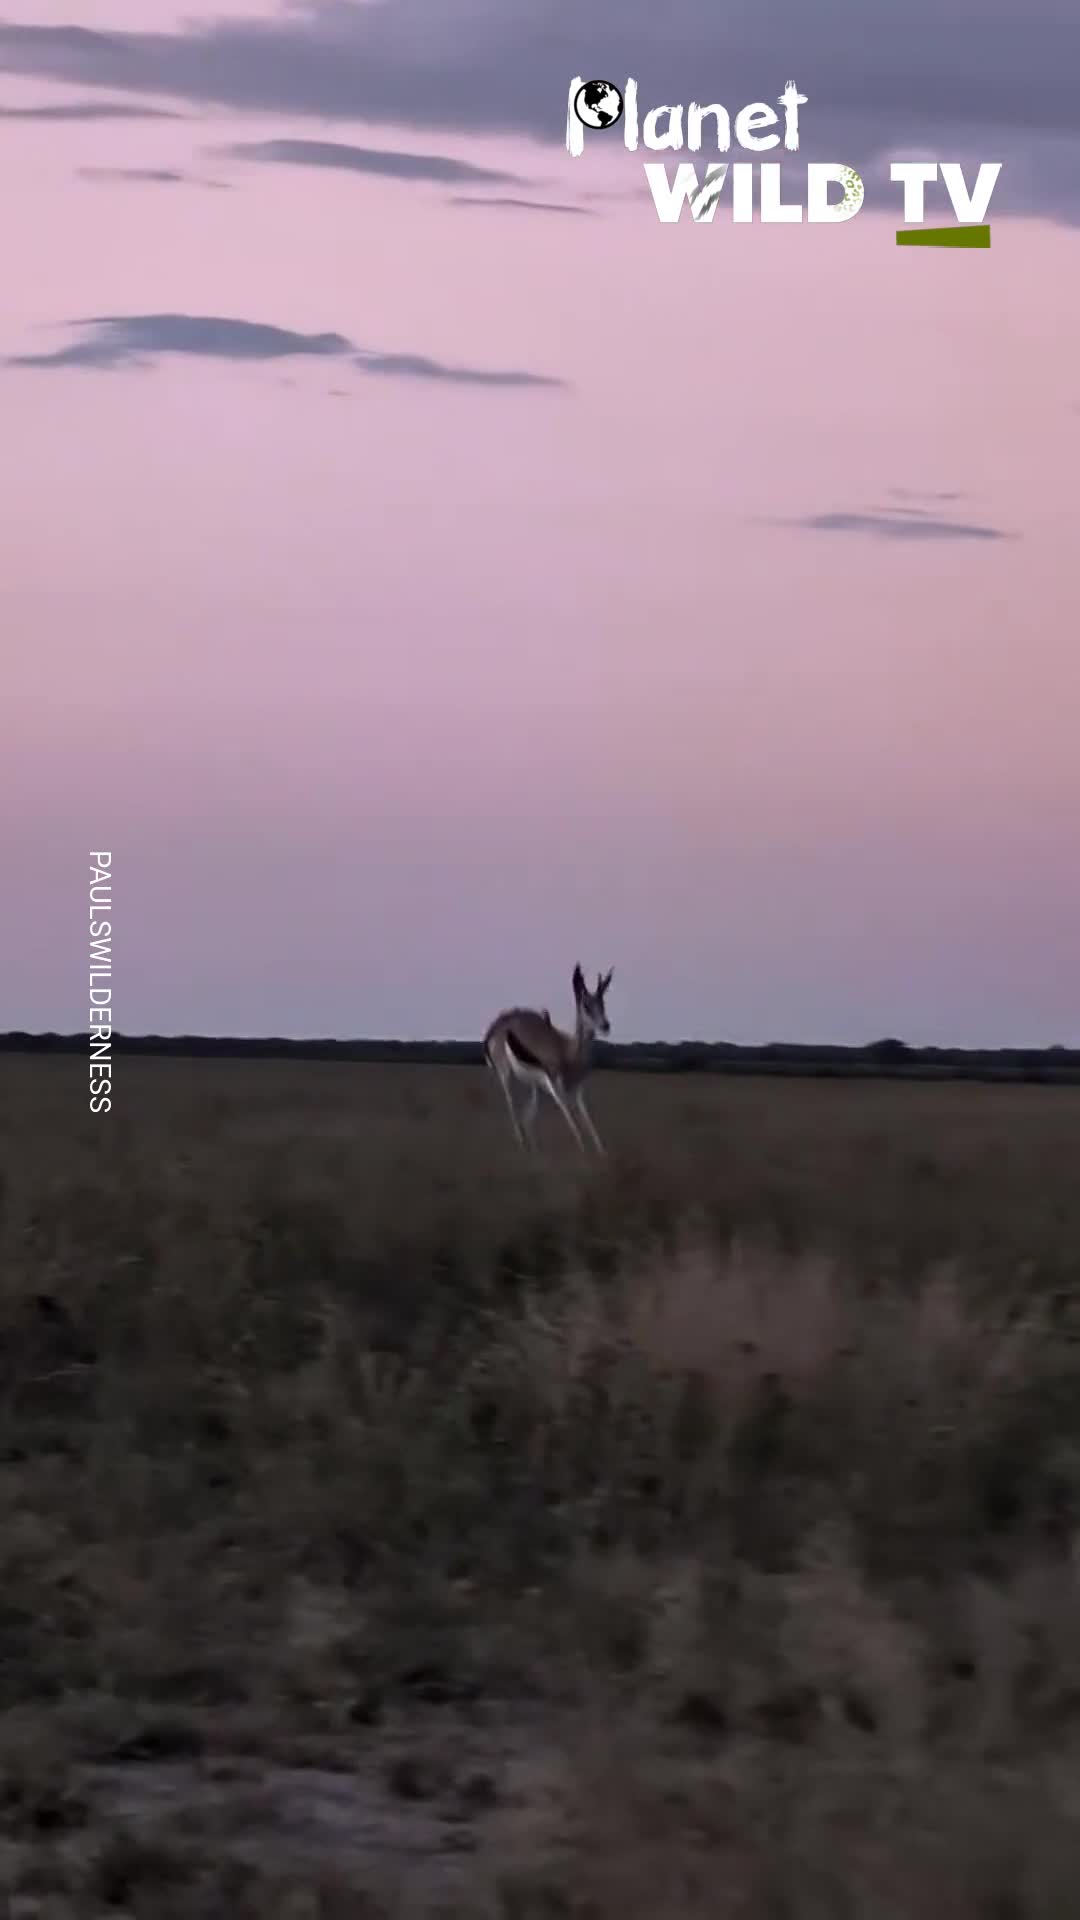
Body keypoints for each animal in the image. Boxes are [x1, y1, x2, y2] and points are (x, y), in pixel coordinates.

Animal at [484, 965, 613, 1153]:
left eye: (603, 1004)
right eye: (586, 1006)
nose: (605, 1026)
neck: (568, 1052)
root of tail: (496, 1025)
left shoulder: (576, 1088)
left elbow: (588, 1122)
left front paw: (602, 1154)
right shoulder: (555, 1087)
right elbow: (573, 1123)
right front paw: (584, 1153)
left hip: (534, 1086)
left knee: (527, 1118)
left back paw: (533, 1148)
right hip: (506, 1075)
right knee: (513, 1109)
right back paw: (522, 1146)